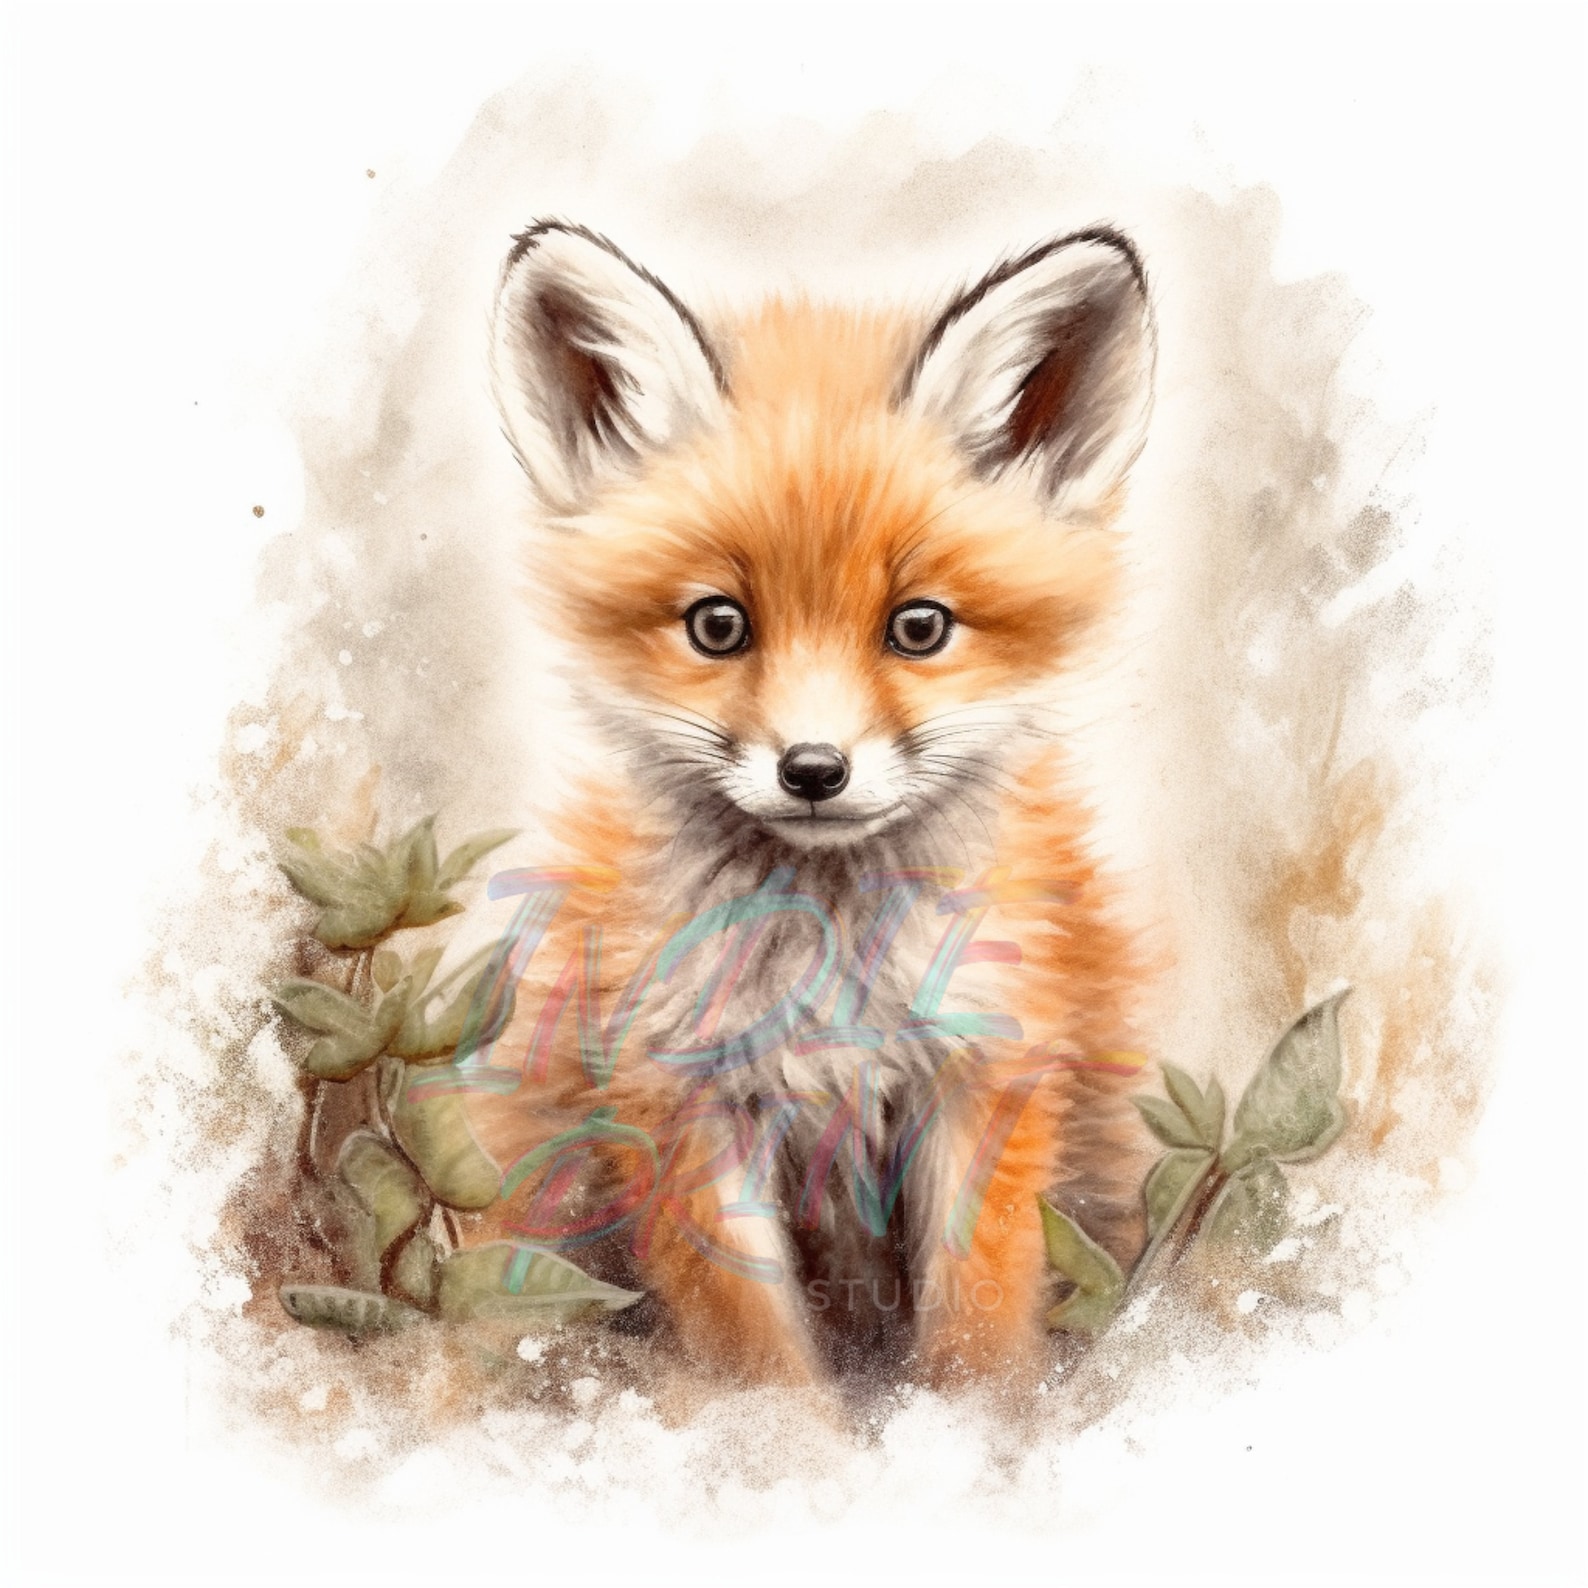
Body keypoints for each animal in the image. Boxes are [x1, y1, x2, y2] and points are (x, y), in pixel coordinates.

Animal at [459, 220, 1158, 1391]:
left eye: (919, 627)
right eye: (717, 625)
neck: (831, 982)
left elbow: (977, 1340)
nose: (815, 770)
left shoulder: (986, 1073)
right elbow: (762, 1368)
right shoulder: (677, 1102)